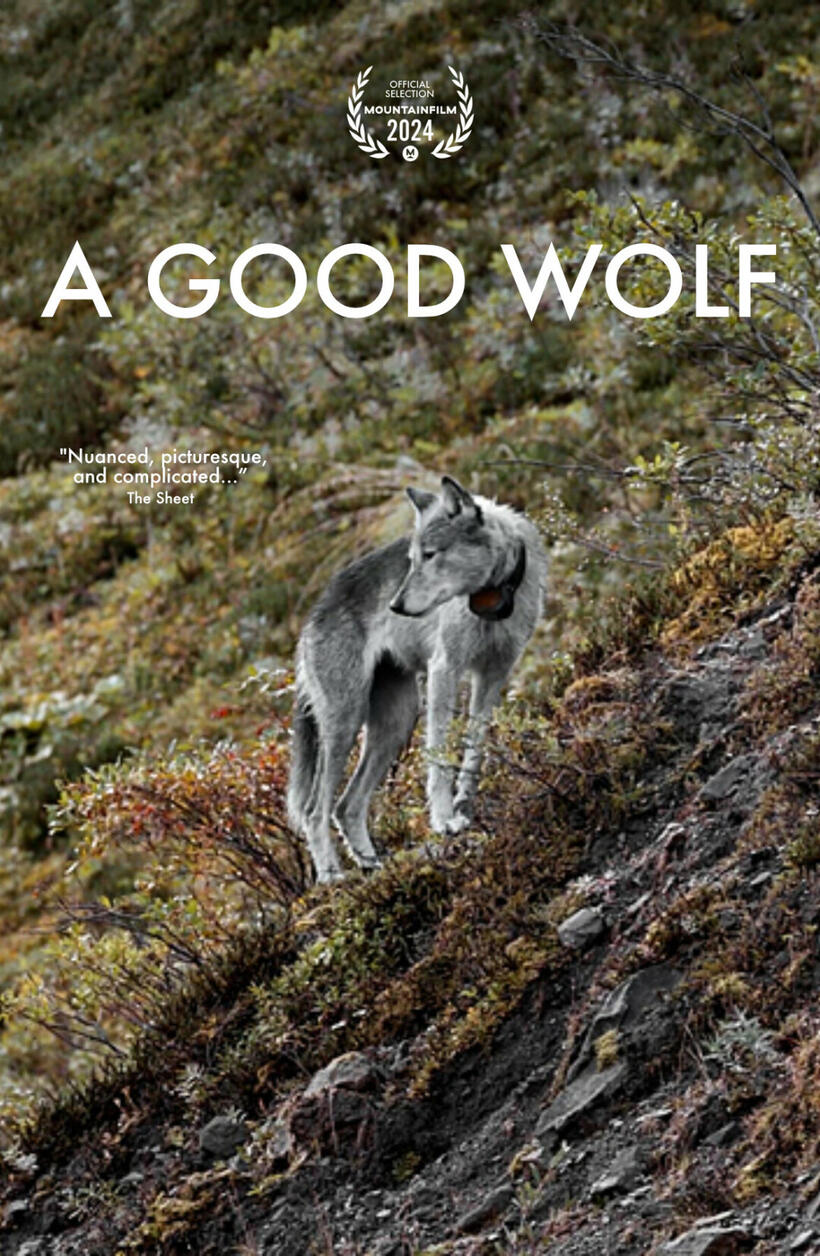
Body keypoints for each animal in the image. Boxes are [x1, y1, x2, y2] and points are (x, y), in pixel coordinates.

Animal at [287, 475, 546, 883]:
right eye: (412, 559)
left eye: (430, 555)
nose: (395, 606)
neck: (490, 595)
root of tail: (311, 617)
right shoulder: (445, 670)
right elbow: (439, 757)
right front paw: (444, 820)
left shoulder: (493, 675)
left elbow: (474, 751)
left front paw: (464, 807)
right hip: (347, 721)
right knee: (315, 810)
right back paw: (331, 876)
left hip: (398, 721)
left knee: (346, 805)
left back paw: (371, 863)